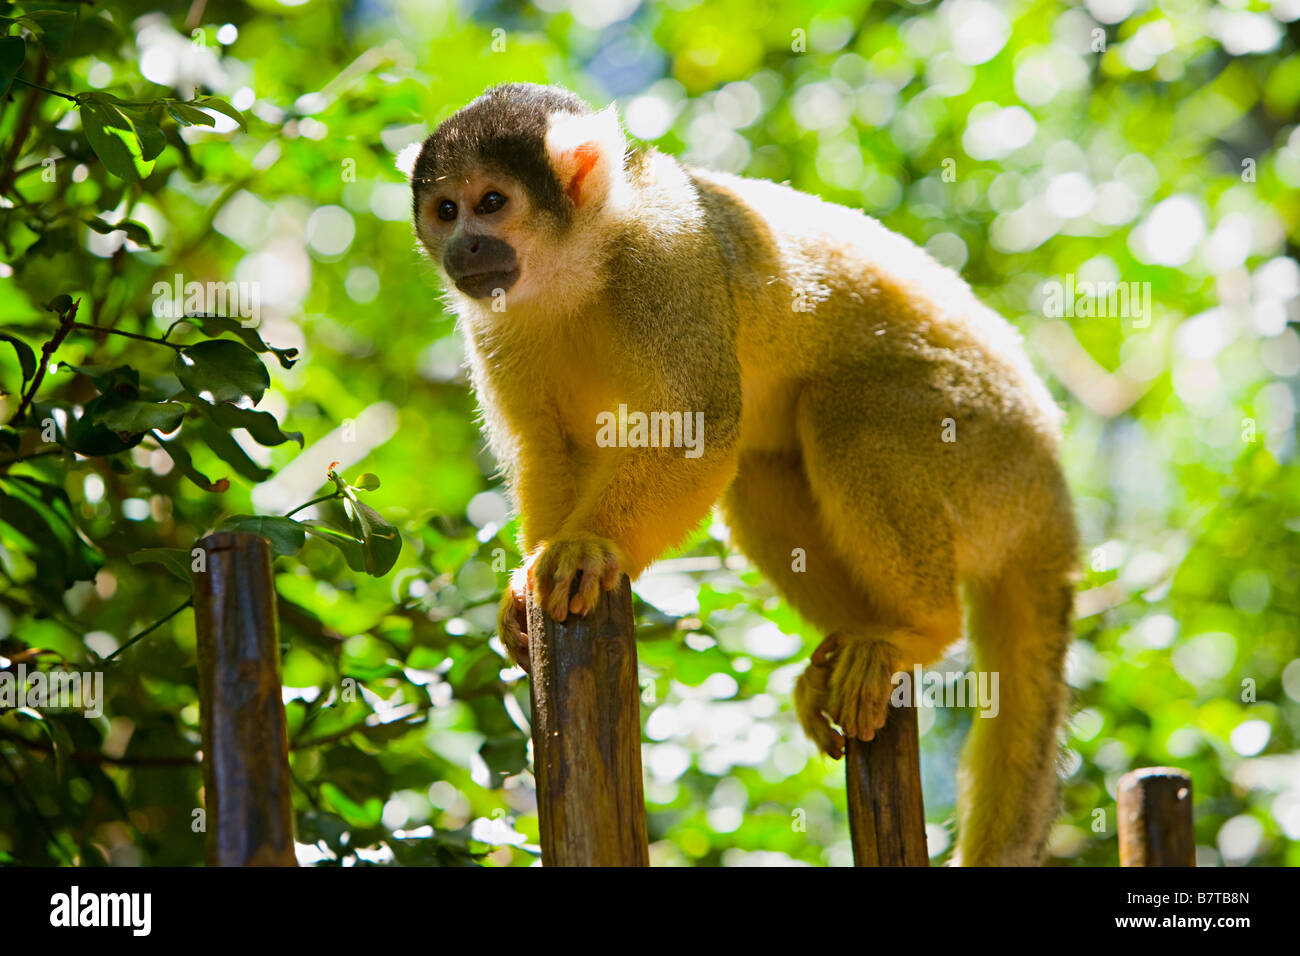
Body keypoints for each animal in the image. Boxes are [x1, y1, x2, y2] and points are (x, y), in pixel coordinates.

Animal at [410, 83, 1078, 866]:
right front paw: (528, 584)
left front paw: (588, 548)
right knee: (763, 467)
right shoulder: (493, 318)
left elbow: (696, 428)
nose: (462, 247)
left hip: (988, 446)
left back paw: (914, 630)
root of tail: (1051, 485)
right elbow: (552, 447)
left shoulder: (665, 257)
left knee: (848, 417)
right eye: (445, 211)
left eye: (491, 202)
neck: (580, 258)